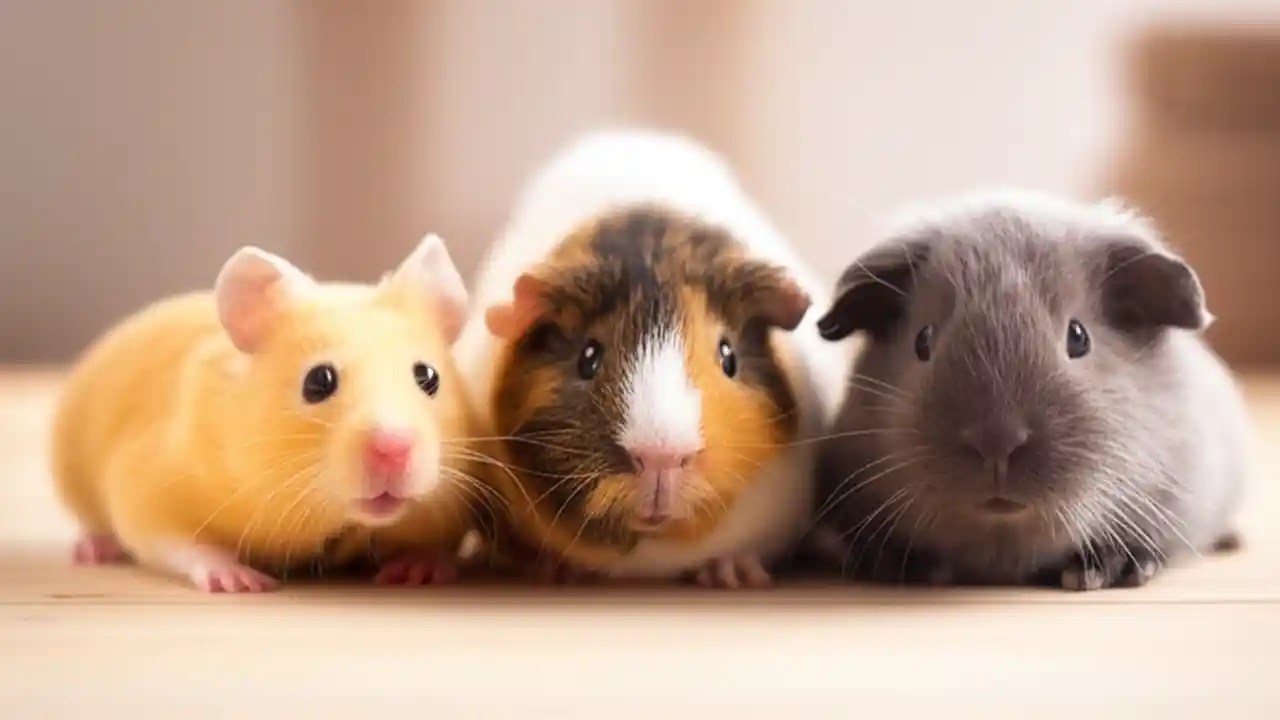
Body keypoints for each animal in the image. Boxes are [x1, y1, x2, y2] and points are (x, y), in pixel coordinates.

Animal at [51, 235, 489, 592]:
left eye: (428, 376)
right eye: (318, 381)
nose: (395, 448)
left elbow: (437, 544)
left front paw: (416, 571)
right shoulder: (148, 486)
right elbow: (180, 542)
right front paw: (242, 582)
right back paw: (93, 550)